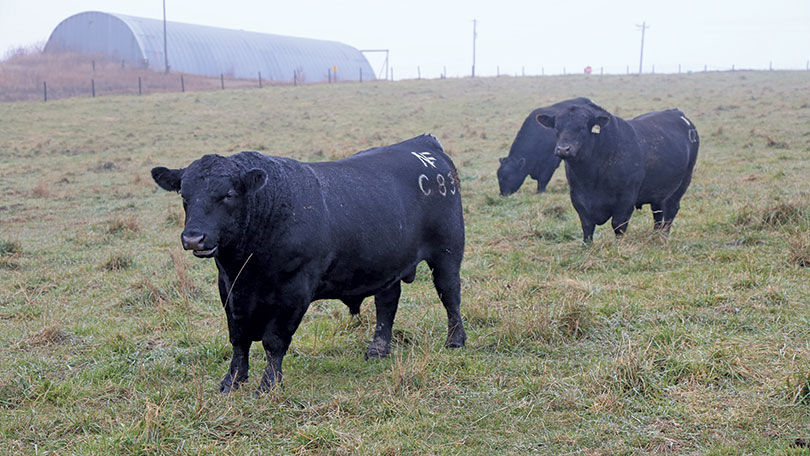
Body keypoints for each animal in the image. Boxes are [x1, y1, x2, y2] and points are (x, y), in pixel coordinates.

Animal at [151, 134, 466, 394]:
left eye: (227, 194)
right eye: (184, 195)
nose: (193, 238)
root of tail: (424, 144)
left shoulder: (293, 291)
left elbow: (274, 340)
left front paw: (268, 385)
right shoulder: (228, 289)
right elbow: (238, 339)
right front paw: (232, 382)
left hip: (448, 251)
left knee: (449, 294)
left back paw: (455, 341)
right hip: (386, 261)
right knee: (387, 302)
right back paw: (378, 349)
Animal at [535, 98, 699, 243]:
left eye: (581, 128)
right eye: (557, 128)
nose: (563, 149)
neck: (590, 176)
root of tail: (677, 112)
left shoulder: (626, 199)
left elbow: (618, 225)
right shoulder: (578, 197)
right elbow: (587, 226)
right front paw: (587, 247)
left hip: (683, 183)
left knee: (671, 210)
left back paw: (664, 237)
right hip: (658, 190)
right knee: (657, 212)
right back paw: (655, 236)